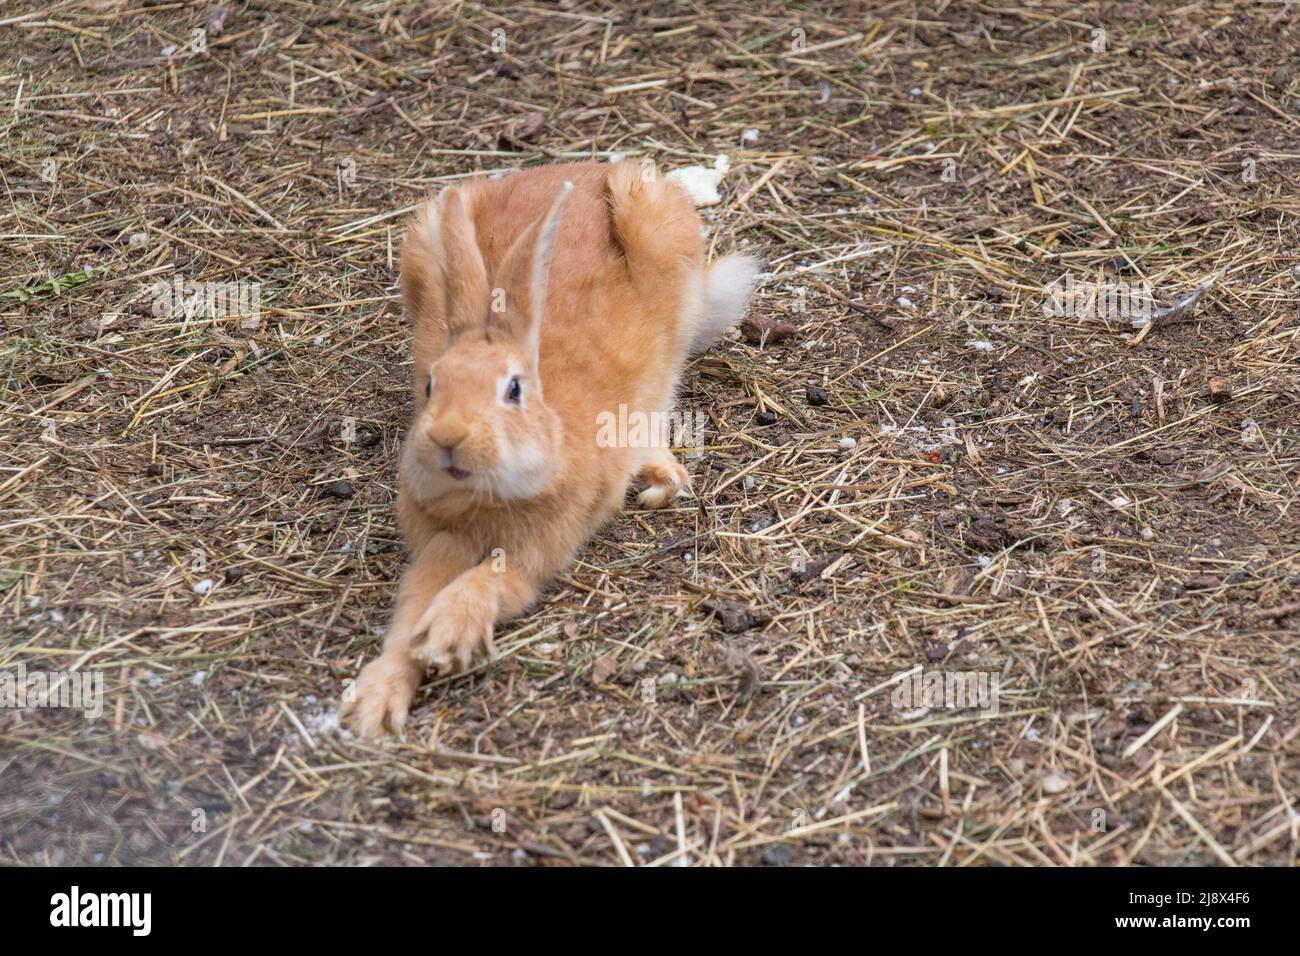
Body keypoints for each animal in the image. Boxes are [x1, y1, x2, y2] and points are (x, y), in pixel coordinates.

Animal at [342, 160, 760, 738]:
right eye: (431, 384)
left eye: (513, 390)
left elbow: (492, 583)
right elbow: (412, 607)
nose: (448, 438)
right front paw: (377, 702)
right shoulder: (440, 542)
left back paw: (659, 476)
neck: (487, 495)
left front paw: (446, 636)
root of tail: (581, 169)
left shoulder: (537, 553)